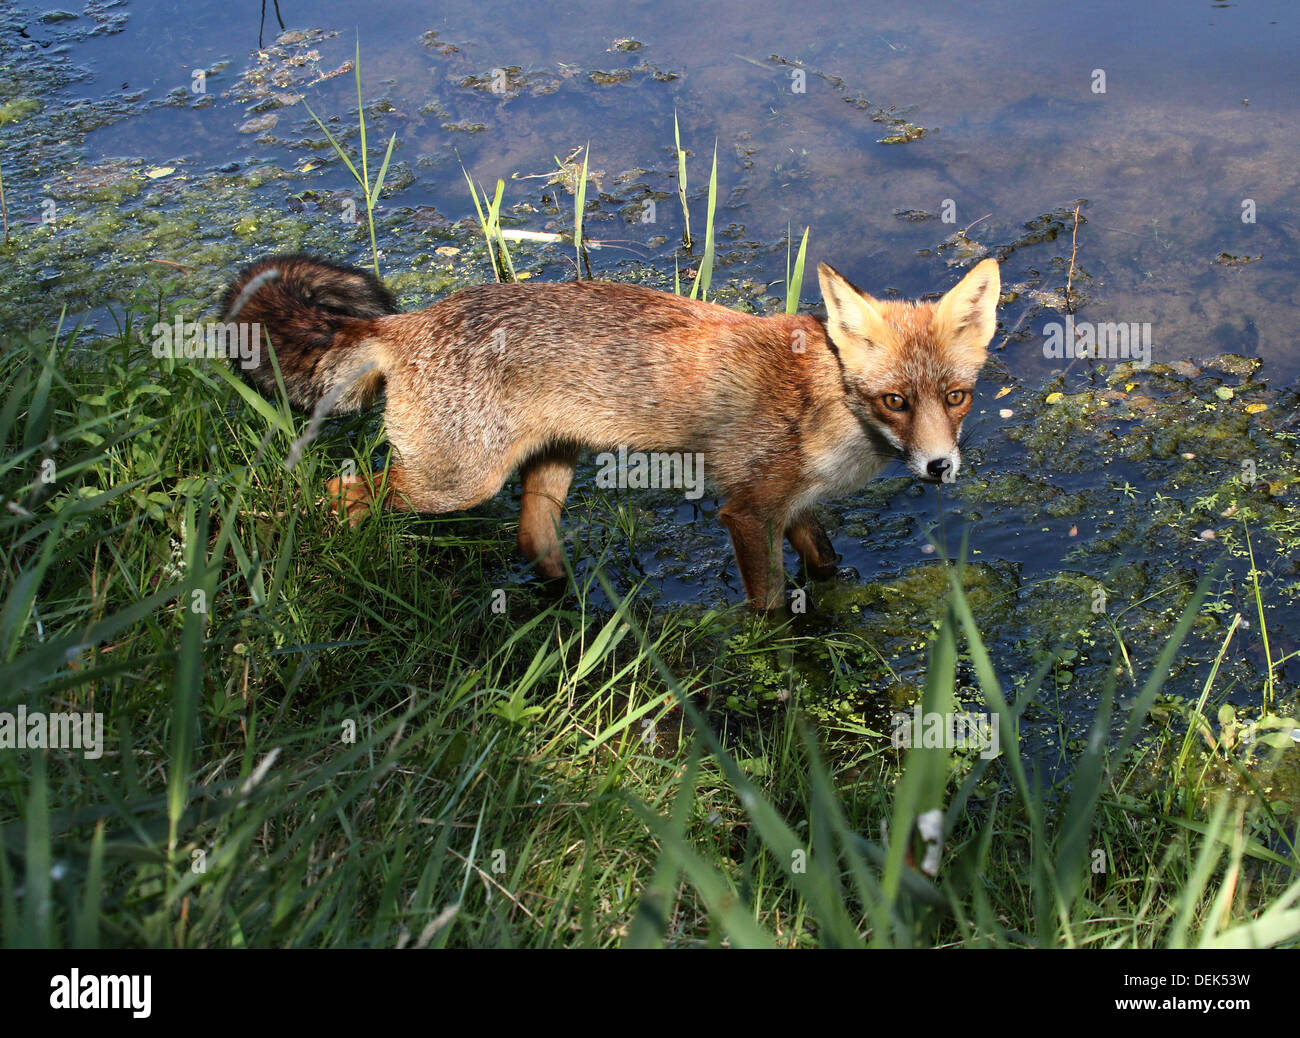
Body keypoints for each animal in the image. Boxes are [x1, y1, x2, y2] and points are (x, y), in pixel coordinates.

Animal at [220, 254, 1000, 611]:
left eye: (956, 397)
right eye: (895, 400)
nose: (940, 467)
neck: (827, 397)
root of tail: (402, 322)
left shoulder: (794, 506)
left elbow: (829, 564)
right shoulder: (748, 512)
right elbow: (770, 604)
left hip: (550, 467)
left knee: (531, 542)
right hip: (455, 485)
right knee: (337, 491)